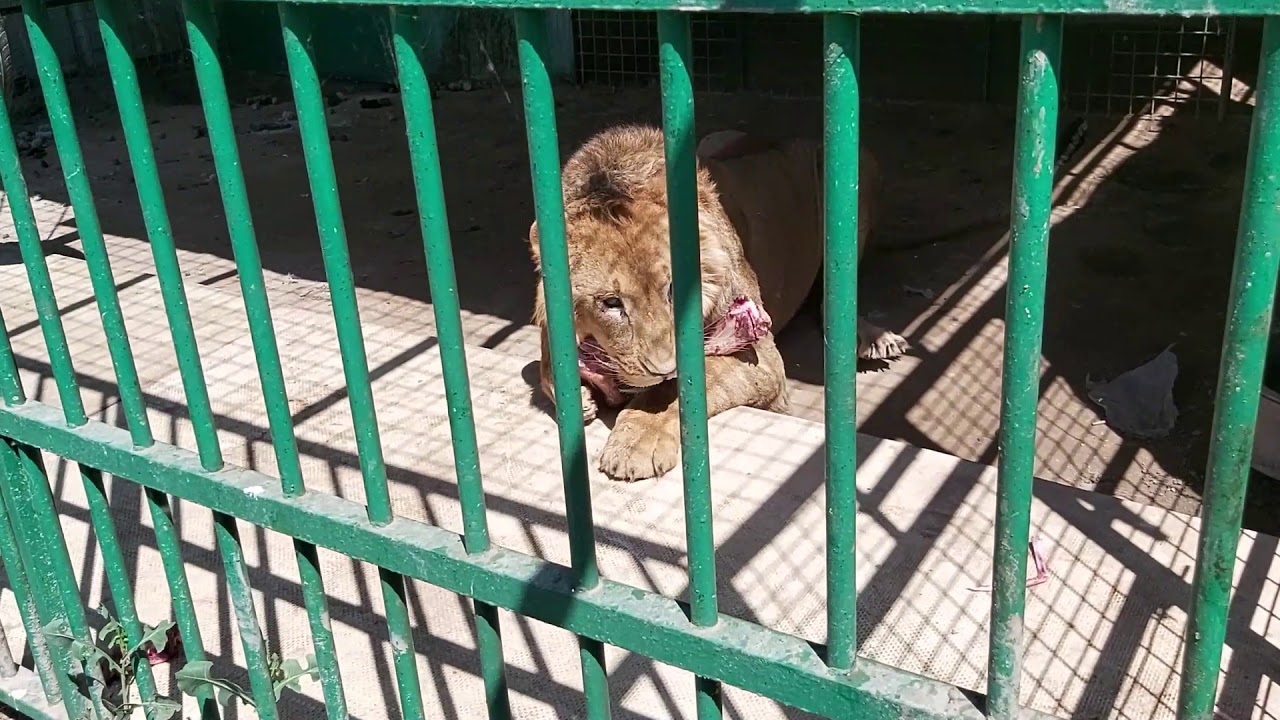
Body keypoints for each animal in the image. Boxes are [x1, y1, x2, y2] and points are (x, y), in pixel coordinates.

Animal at [527, 123, 907, 482]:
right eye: (611, 302)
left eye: (674, 289)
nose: (663, 367)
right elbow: (546, 365)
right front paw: (578, 396)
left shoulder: (763, 361)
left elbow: (678, 387)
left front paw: (638, 441)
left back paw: (873, 338)